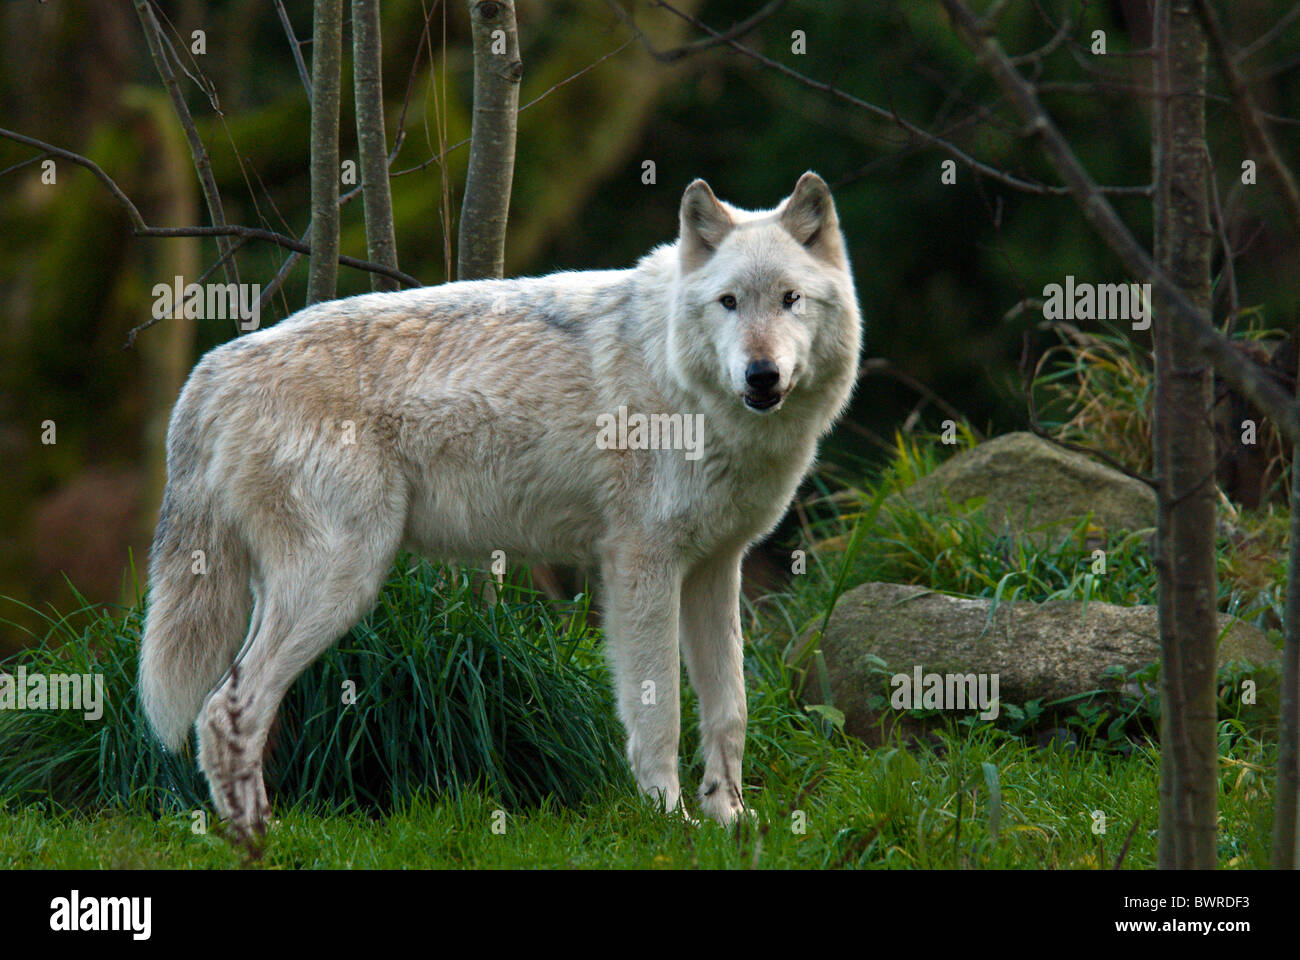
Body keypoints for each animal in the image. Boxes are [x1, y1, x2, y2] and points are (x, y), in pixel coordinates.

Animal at [138, 172, 862, 835]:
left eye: (790, 300)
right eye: (728, 302)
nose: (761, 376)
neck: (679, 379)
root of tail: (213, 369)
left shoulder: (716, 567)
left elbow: (729, 709)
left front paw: (730, 817)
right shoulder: (642, 567)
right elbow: (660, 712)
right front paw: (668, 818)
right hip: (340, 581)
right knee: (224, 709)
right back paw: (258, 833)